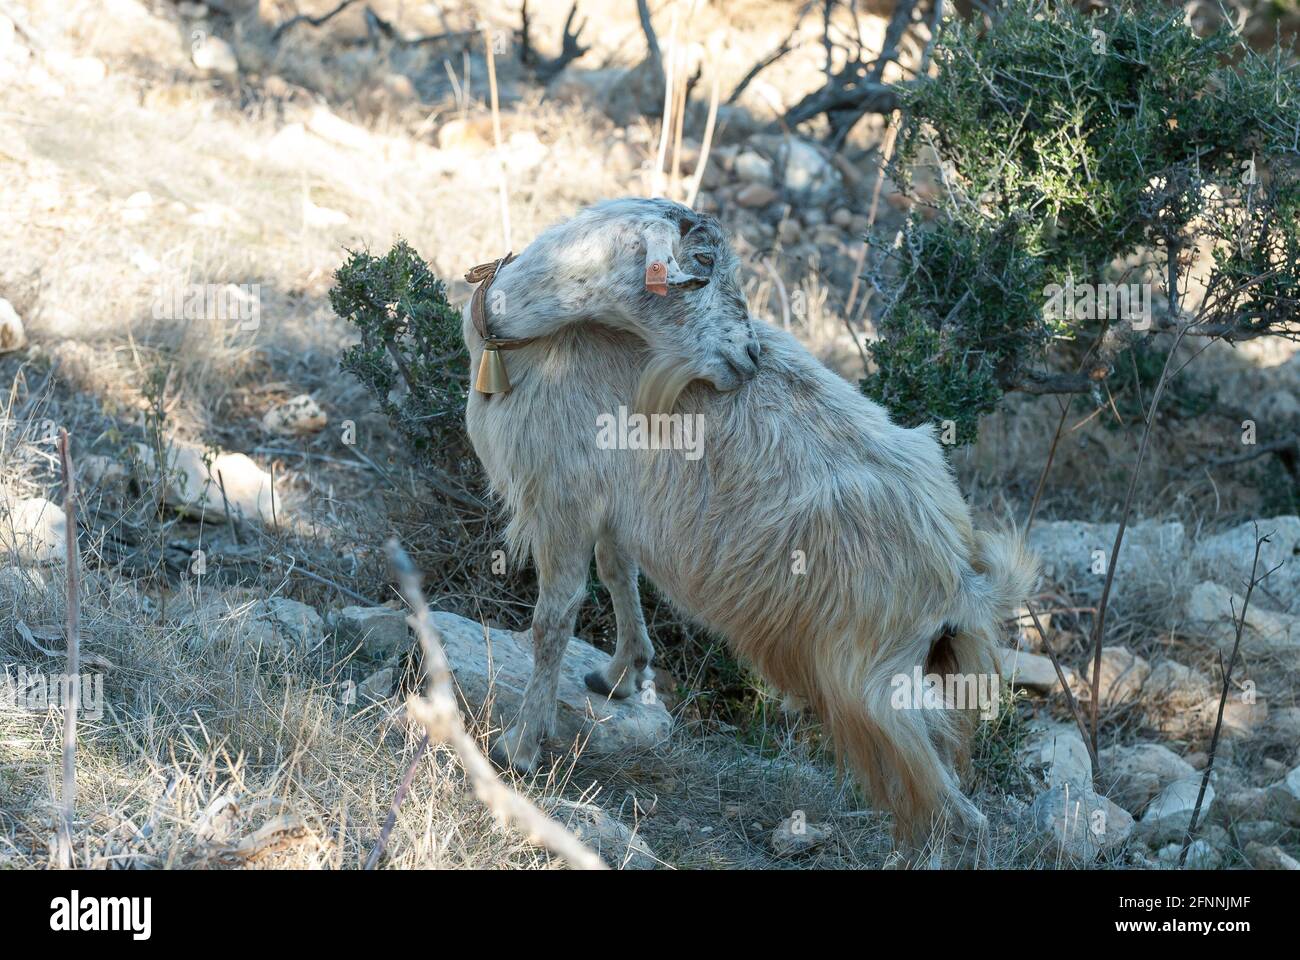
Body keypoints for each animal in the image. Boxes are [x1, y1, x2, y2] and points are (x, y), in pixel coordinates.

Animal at [461, 197, 1037, 849]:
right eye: (703, 261)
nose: (752, 355)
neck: (516, 335)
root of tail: (960, 578)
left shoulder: (563, 500)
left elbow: (552, 621)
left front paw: (519, 747)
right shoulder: (612, 506)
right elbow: (618, 574)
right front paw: (621, 673)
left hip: (869, 674)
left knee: (933, 776)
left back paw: (955, 831)